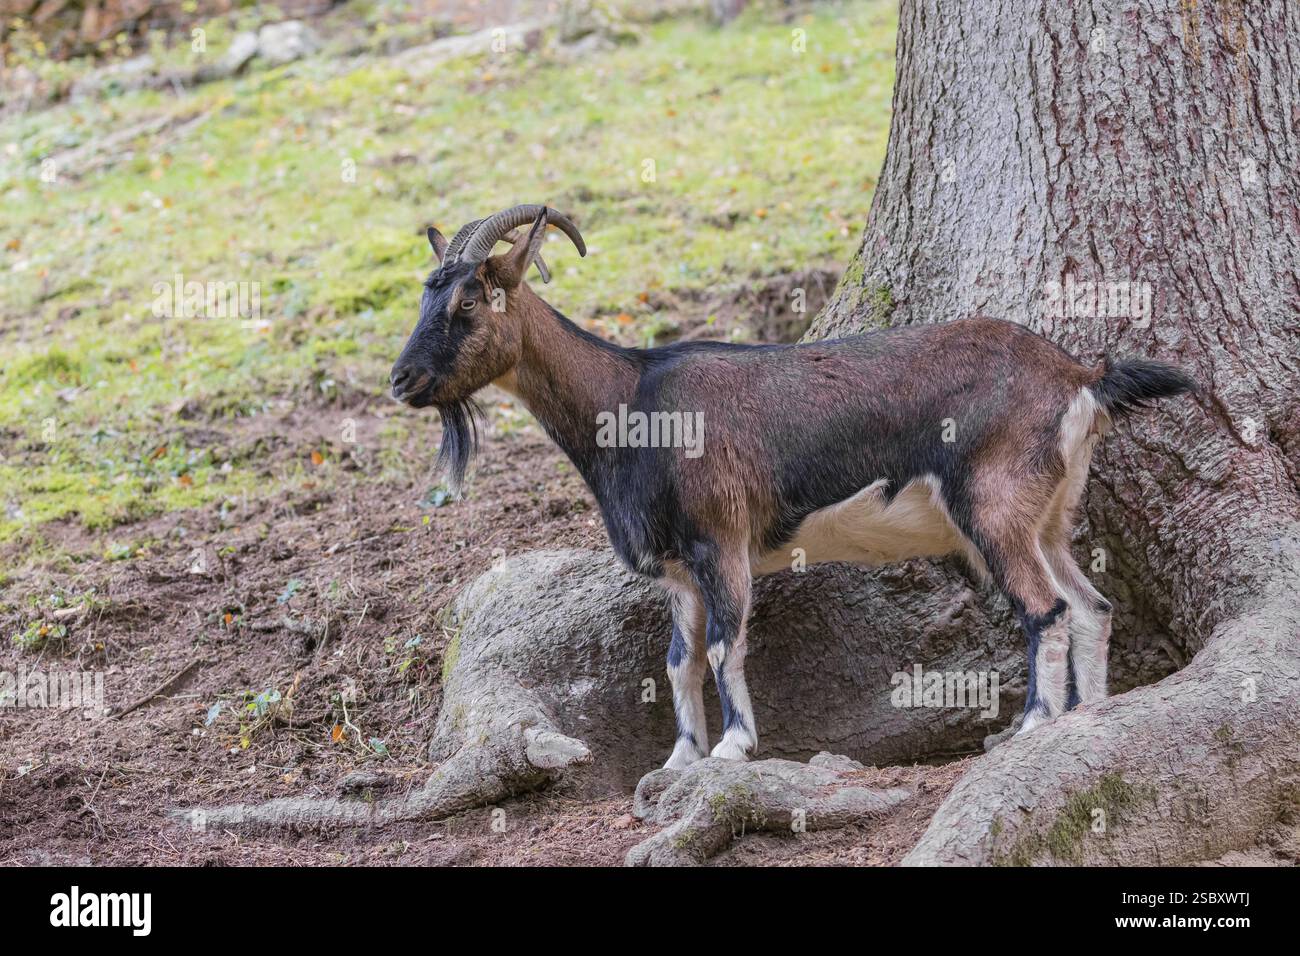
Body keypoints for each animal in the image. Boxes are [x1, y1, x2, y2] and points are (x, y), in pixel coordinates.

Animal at [391, 205, 1196, 769]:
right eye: (423, 299)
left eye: (468, 303)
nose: (400, 381)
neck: (632, 402)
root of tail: (1080, 378)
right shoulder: (679, 571)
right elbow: (678, 661)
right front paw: (679, 759)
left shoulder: (722, 542)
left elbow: (725, 646)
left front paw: (733, 747)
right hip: (1048, 517)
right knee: (1091, 606)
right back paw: (1089, 716)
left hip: (993, 510)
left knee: (1047, 609)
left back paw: (1033, 723)